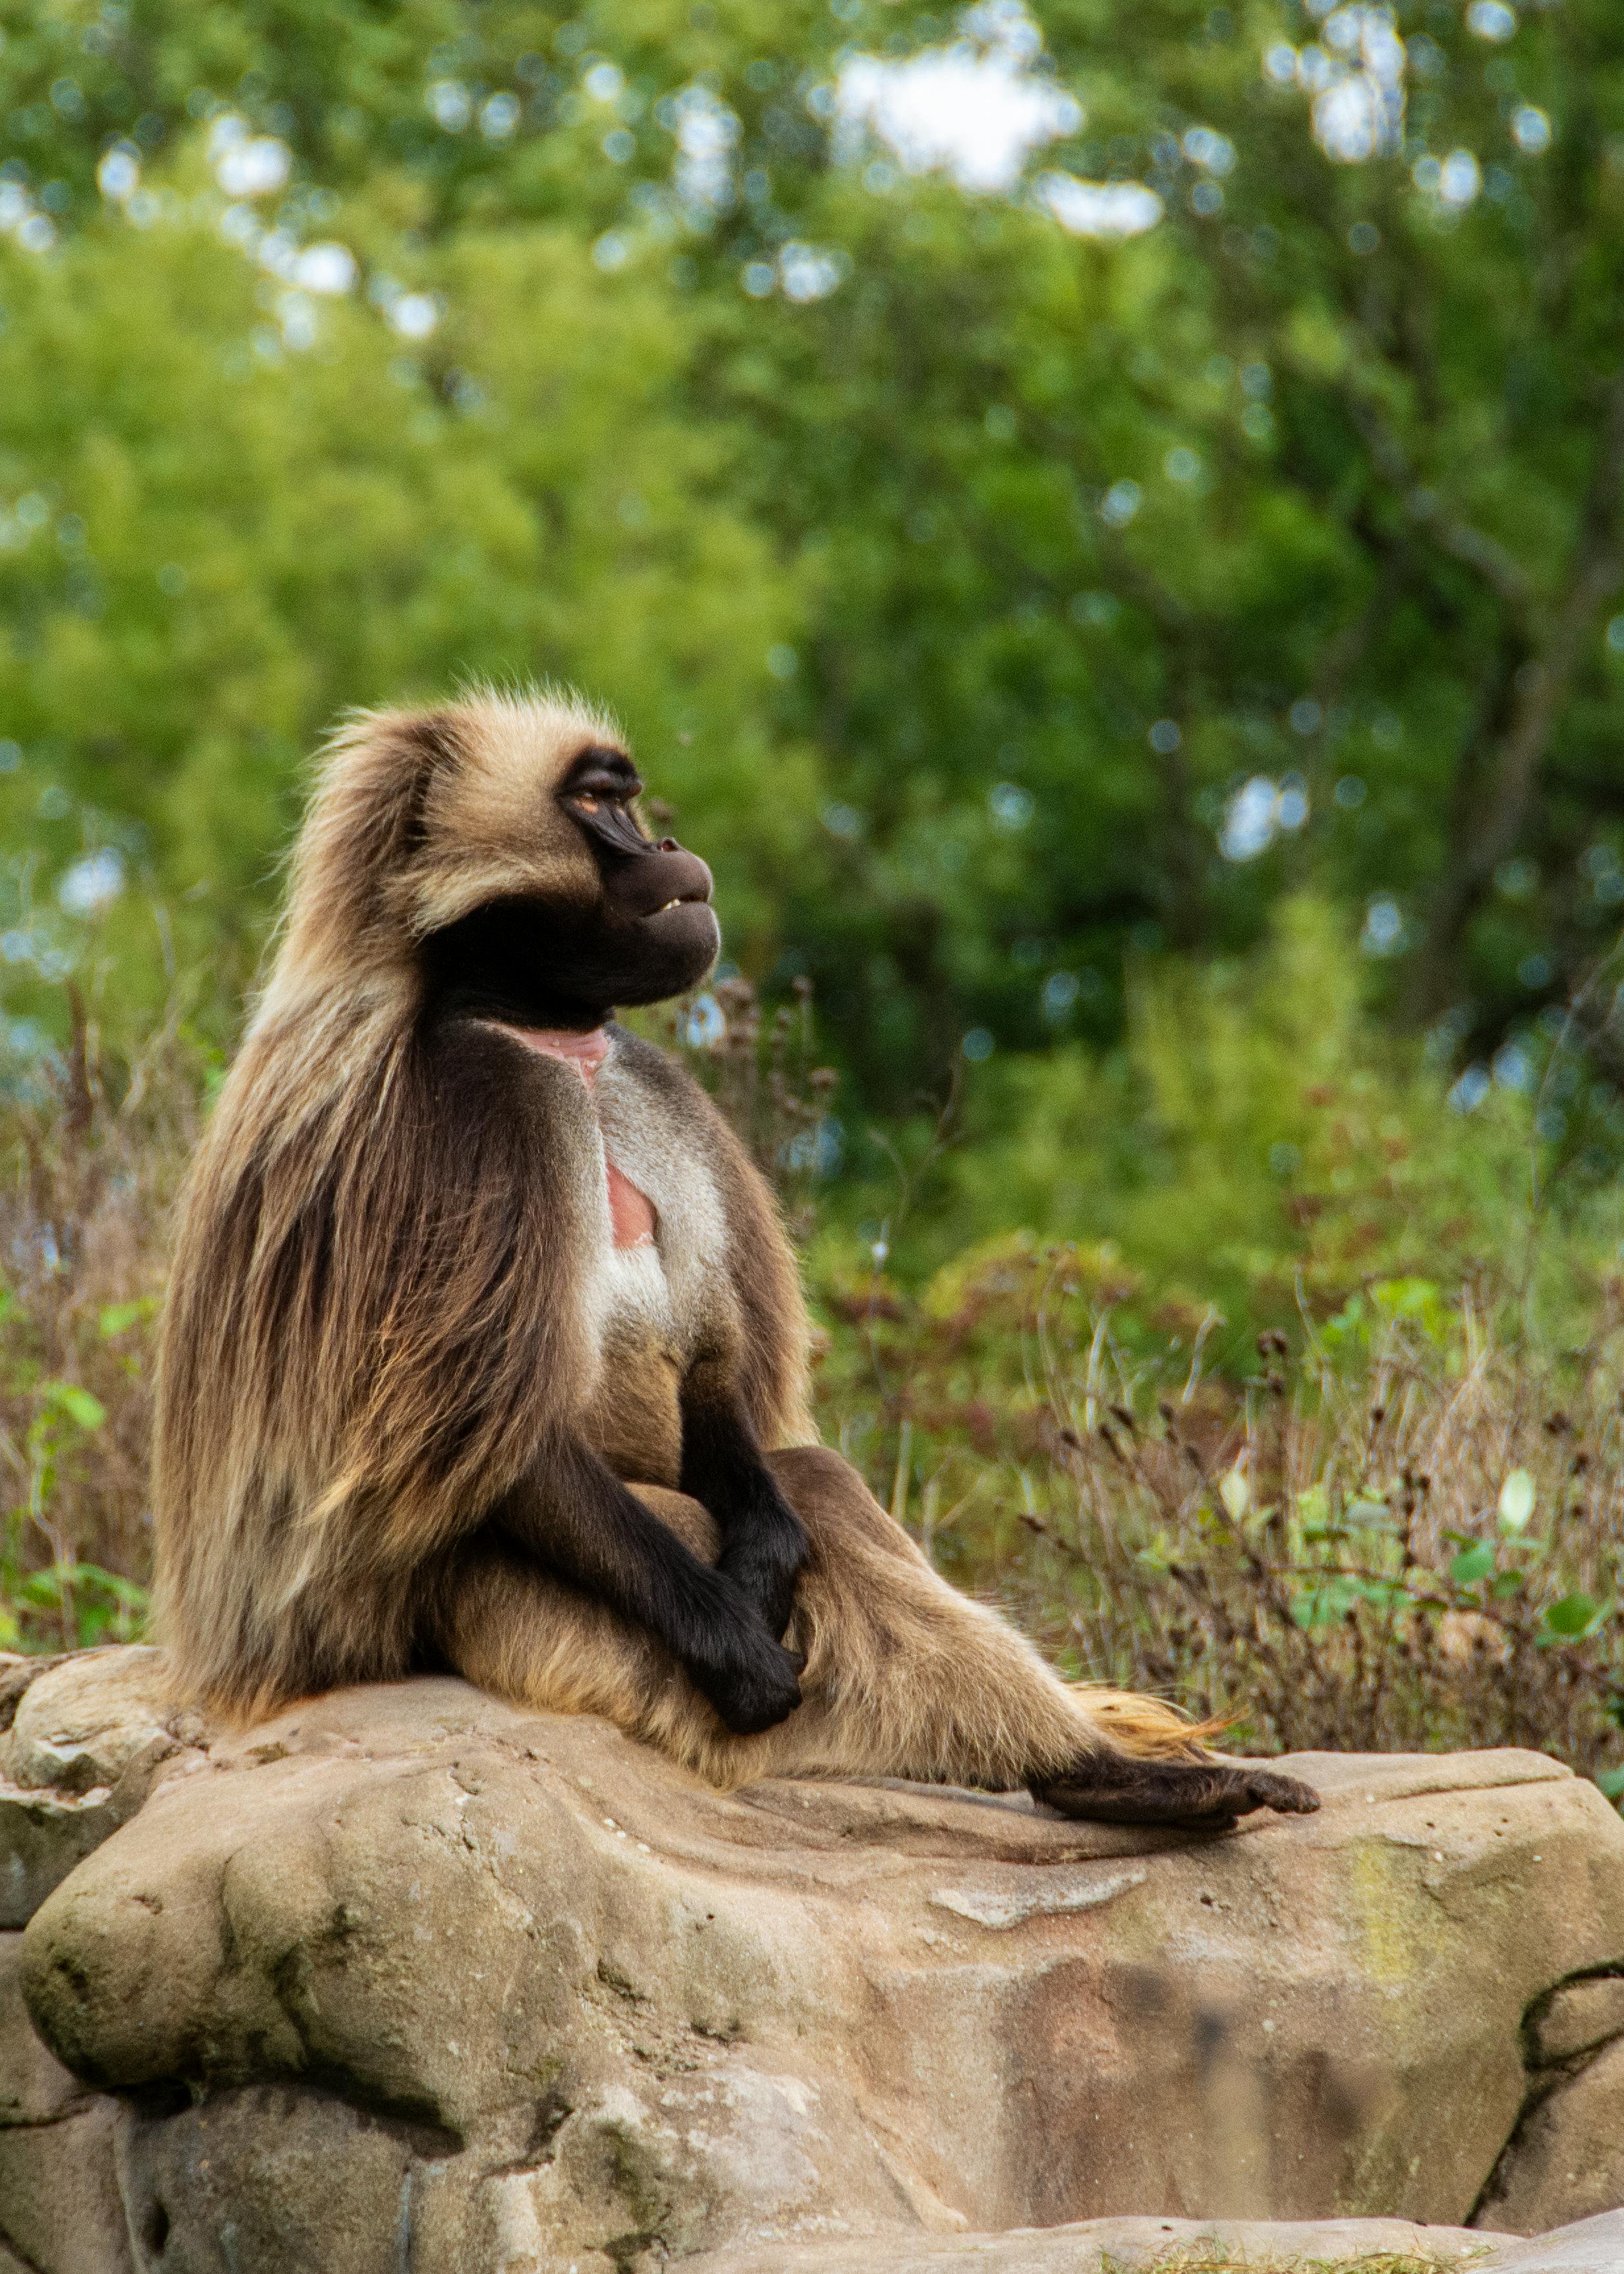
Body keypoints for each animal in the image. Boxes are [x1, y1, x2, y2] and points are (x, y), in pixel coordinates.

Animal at [152, 691, 1318, 1833]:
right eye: (598, 803)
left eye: (627, 798)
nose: (671, 842)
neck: (548, 1035)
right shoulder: (468, 1121)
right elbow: (498, 1426)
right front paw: (731, 1638)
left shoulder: (653, 1087)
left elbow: (714, 1370)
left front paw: (761, 1563)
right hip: (507, 1620)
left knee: (816, 1484)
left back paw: (1109, 1768)